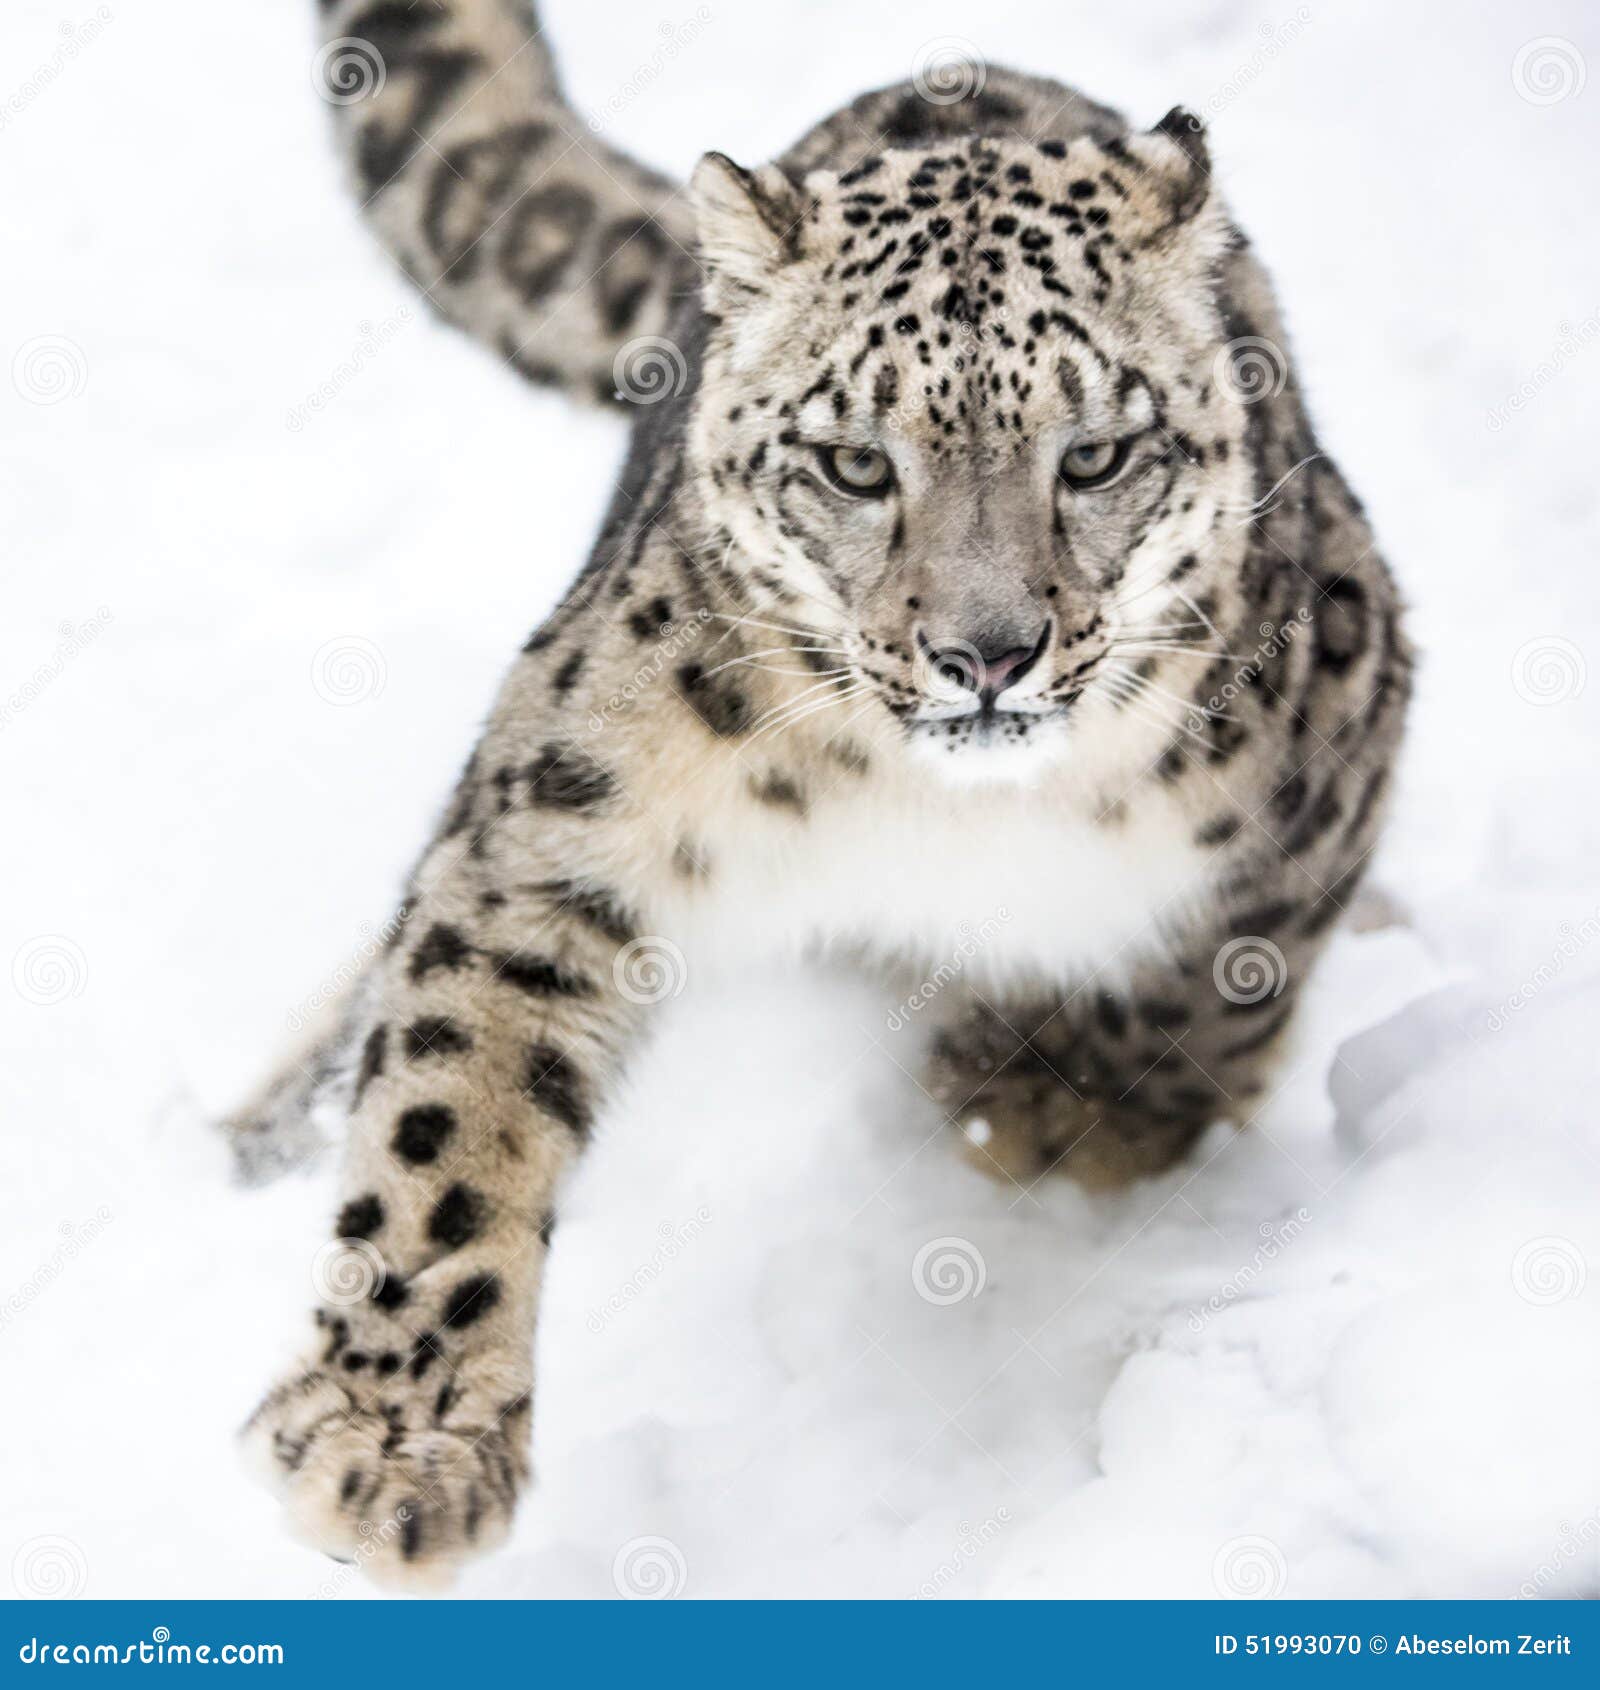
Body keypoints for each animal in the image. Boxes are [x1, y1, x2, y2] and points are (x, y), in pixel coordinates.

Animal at [234, 0, 1411, 1585]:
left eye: (1096, 452)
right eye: (856, 463)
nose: (987, 650)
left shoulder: (1341, 715)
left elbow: (1227, 967)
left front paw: (1070, 1098)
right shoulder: (560, 822)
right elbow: (447, 1114)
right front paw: (393, 1445)